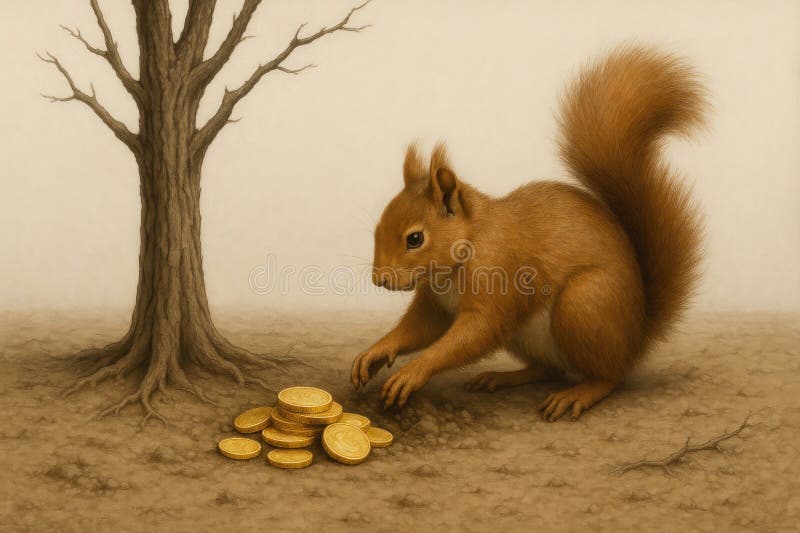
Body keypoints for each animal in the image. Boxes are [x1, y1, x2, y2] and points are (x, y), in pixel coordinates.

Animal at [351, 45, 706, 421]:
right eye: (378, 228)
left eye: (415, 239)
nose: (379, 280)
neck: (467, 247)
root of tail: (637, 335)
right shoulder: (436, 303)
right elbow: (418, 328)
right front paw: (377, 351)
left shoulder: (499, 279)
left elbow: (478, 331)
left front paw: (413, 372)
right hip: (531, 335)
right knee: (552, 369)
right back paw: (502, 377)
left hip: (584, 305)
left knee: (609, 376)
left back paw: (579, 394)